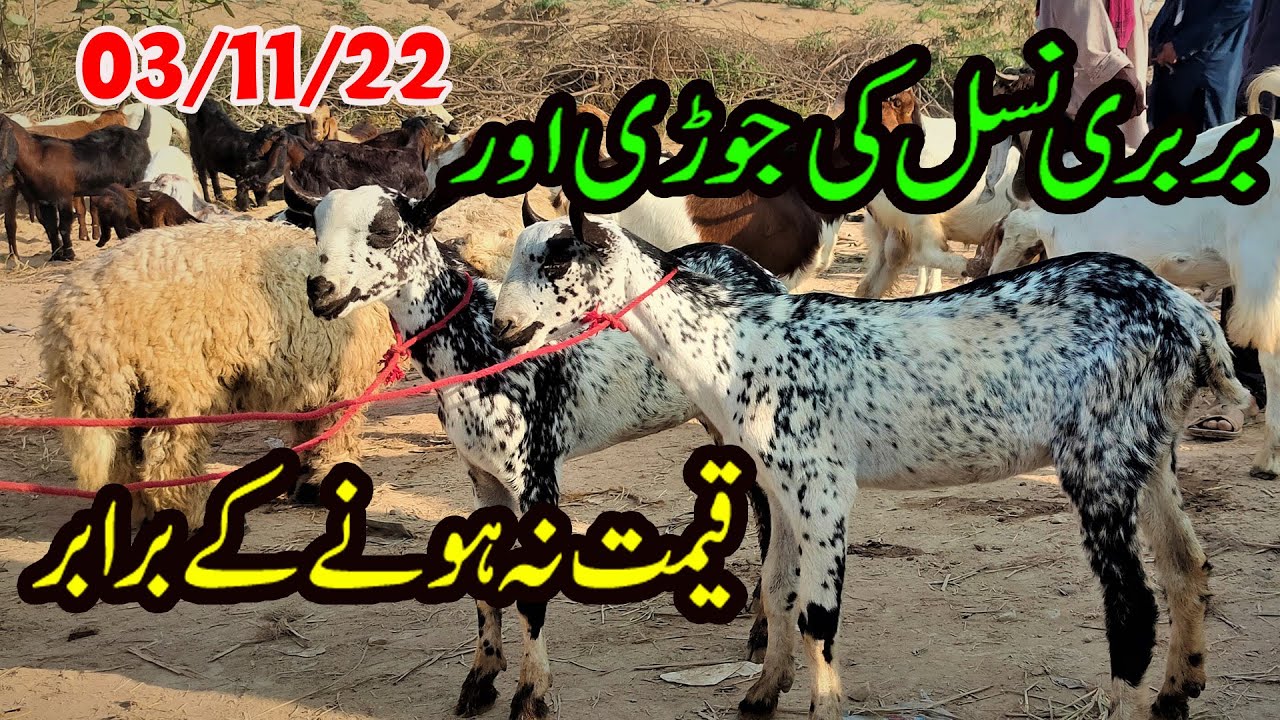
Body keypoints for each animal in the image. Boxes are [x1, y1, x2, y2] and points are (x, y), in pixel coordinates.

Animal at [0, 109, 151, 260]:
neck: (38, 157)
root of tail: (139, 133)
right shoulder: (45, 200)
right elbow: (51, 228)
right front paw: (55, 256)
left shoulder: (64, 196)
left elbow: (64, 227)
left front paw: (69, 254)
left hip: (134, 179)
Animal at [293, 181, 782, 720]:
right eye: (314, 227)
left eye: (382, 229)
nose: (320, 291)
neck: (481, 343)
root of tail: (758, 271)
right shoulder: (482, 474)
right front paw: (481, 679)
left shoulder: (535, 471)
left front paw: (531, 694)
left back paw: (762, 633)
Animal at [493, 211, 1244, 720]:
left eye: (556, 263)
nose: (502, 328)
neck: (738, 342)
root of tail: (1188, 317)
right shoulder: (779, 485)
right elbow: (777, 590)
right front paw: (761, 694)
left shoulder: (822, 484)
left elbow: (817, 613)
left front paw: (821, 706)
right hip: (1150, 451)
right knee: (1188, 565)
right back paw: (1178, 693)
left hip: (1100, 458)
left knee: (1132, 604)